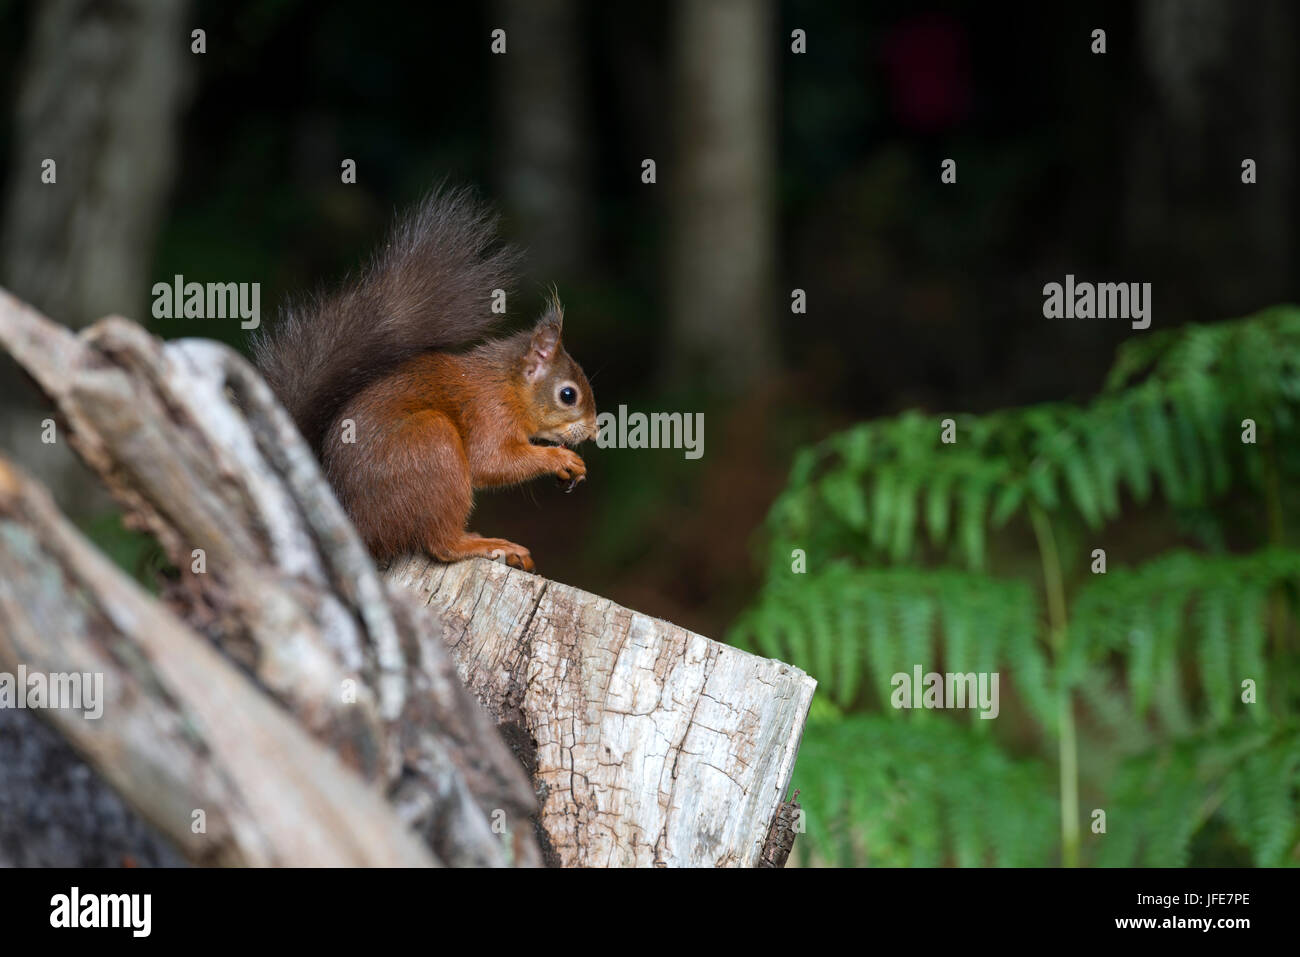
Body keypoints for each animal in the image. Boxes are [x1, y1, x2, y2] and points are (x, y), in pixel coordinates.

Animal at [253, 186, 597, 573]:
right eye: (568, 395)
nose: (595, 431)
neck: (507, 385)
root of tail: (357, 528)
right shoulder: (489, 414)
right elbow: (491, 462)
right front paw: (560, 459)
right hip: (431, 444)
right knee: (441, 544)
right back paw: (490, 545)